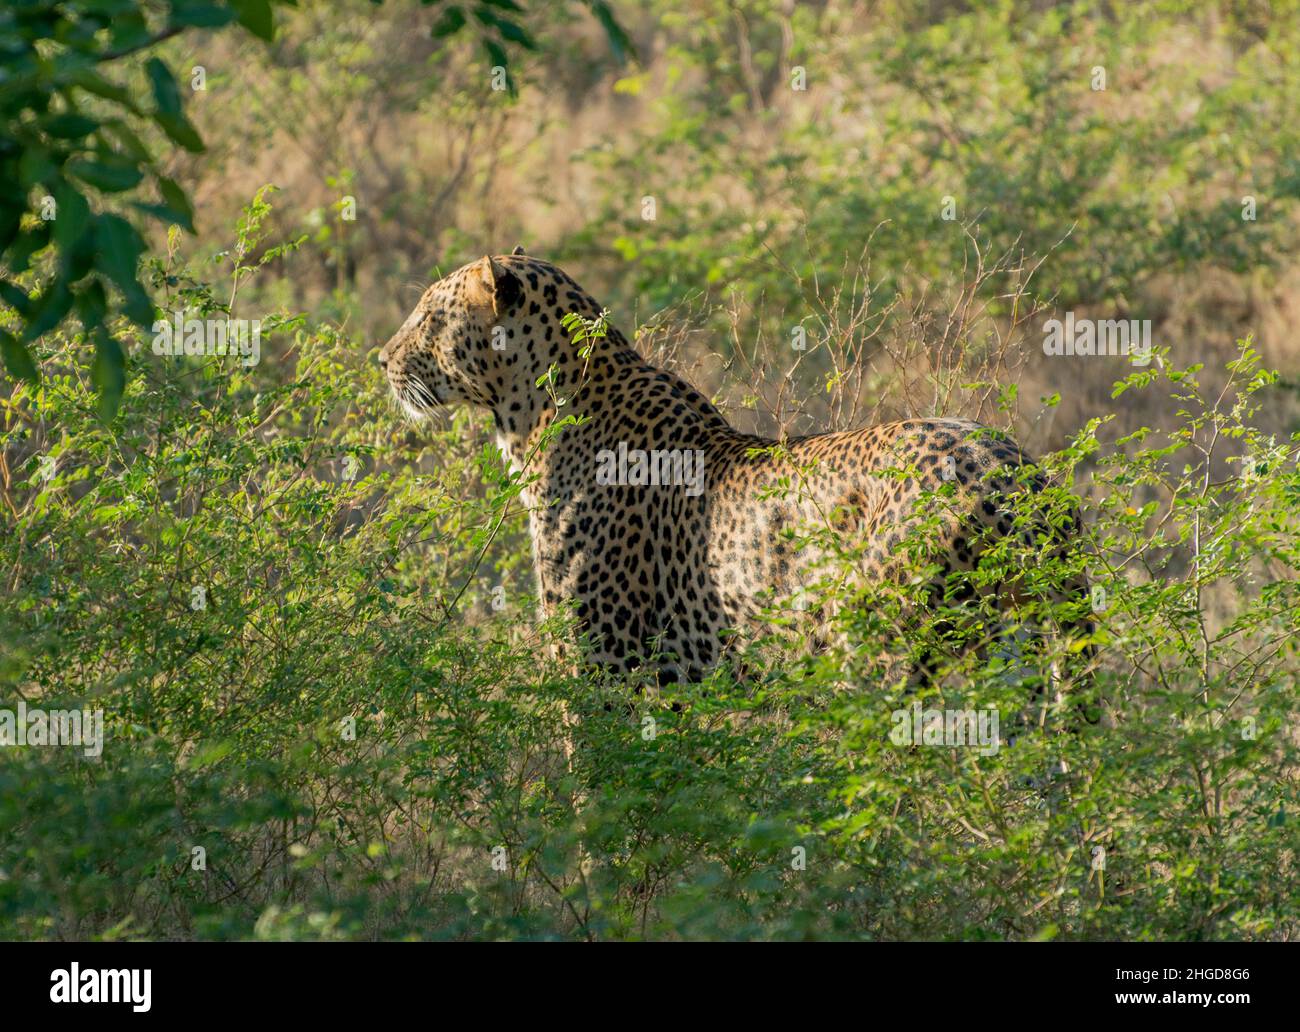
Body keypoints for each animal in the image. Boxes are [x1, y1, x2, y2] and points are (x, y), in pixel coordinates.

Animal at [380, 249, 1096, 704]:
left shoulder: (599, 664)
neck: (535, 417)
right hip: (1023, 651)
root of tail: (1016, 473)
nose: (380, 359)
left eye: (429, 317)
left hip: (879, 653)